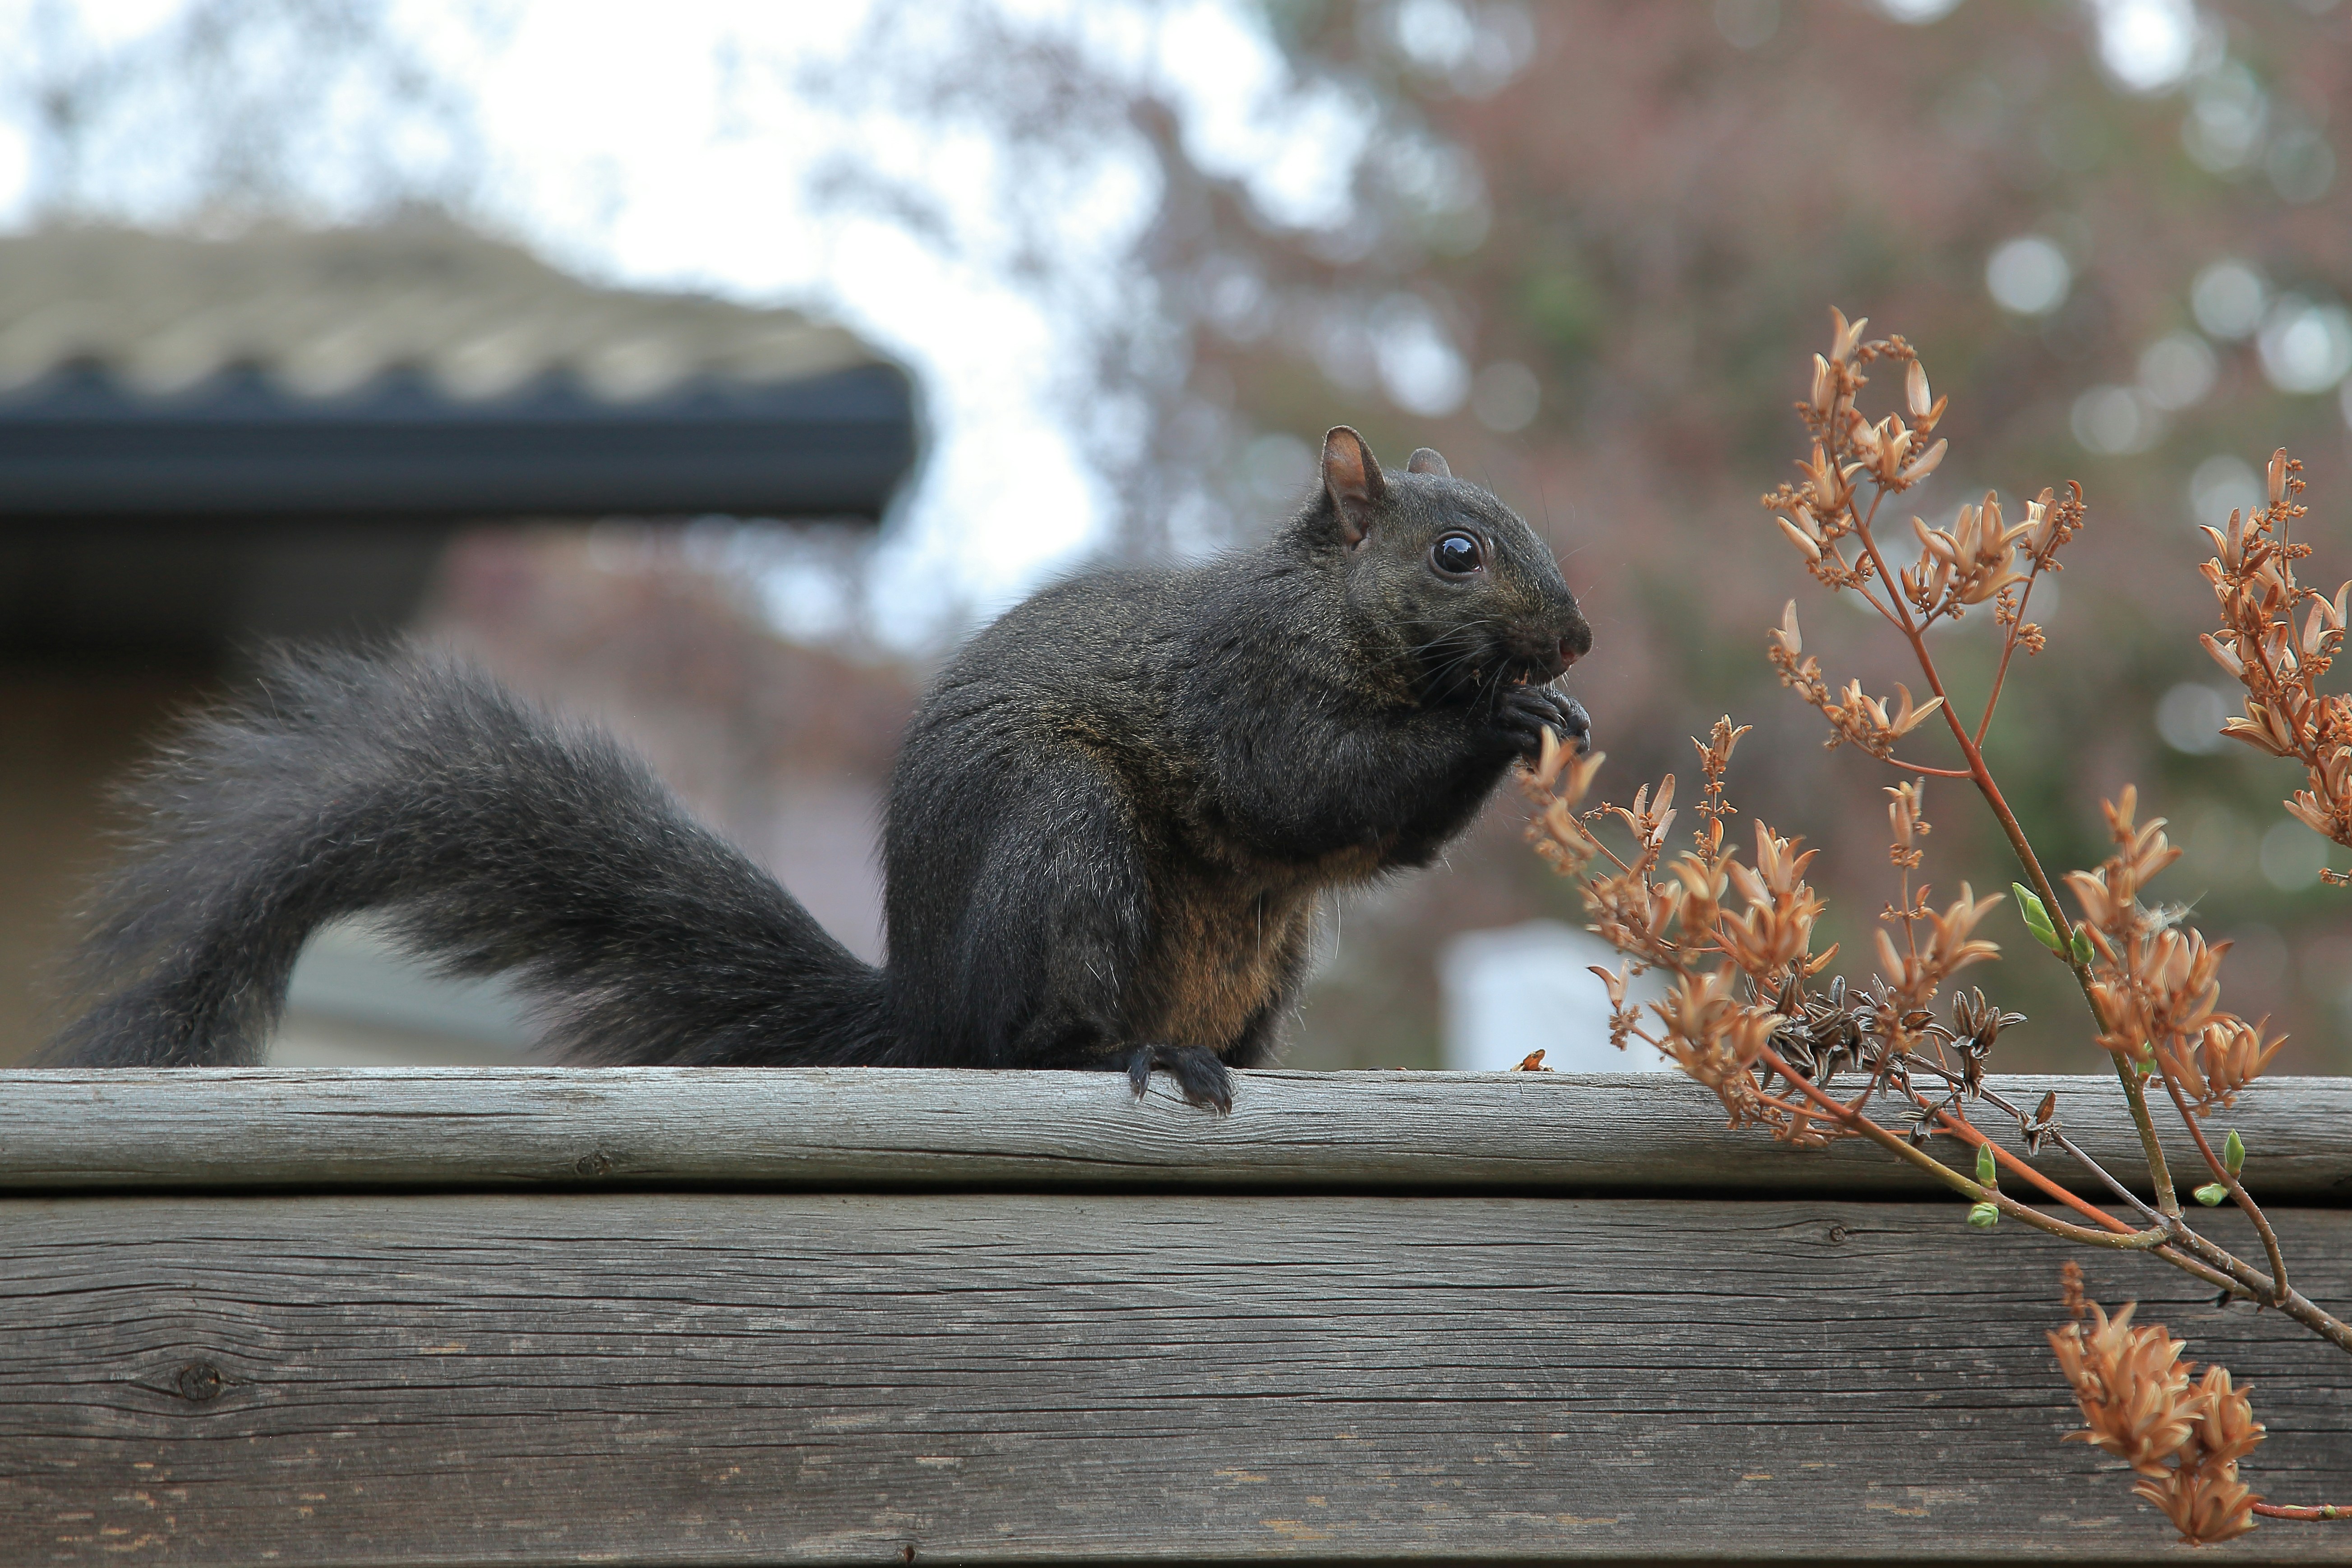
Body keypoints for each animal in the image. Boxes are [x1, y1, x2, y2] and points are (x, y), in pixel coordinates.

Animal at [44, 427, 1592, 1108]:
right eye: (1457, 554)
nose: (1575, 633)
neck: (1327, 611)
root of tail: (921, 1003)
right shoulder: (1237, 689)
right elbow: (1305, 786)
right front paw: (1500, 720)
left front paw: (1553, 712)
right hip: (1063, 838)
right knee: (1020, 1044)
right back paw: (1121, 1050)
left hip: (1264, 959)